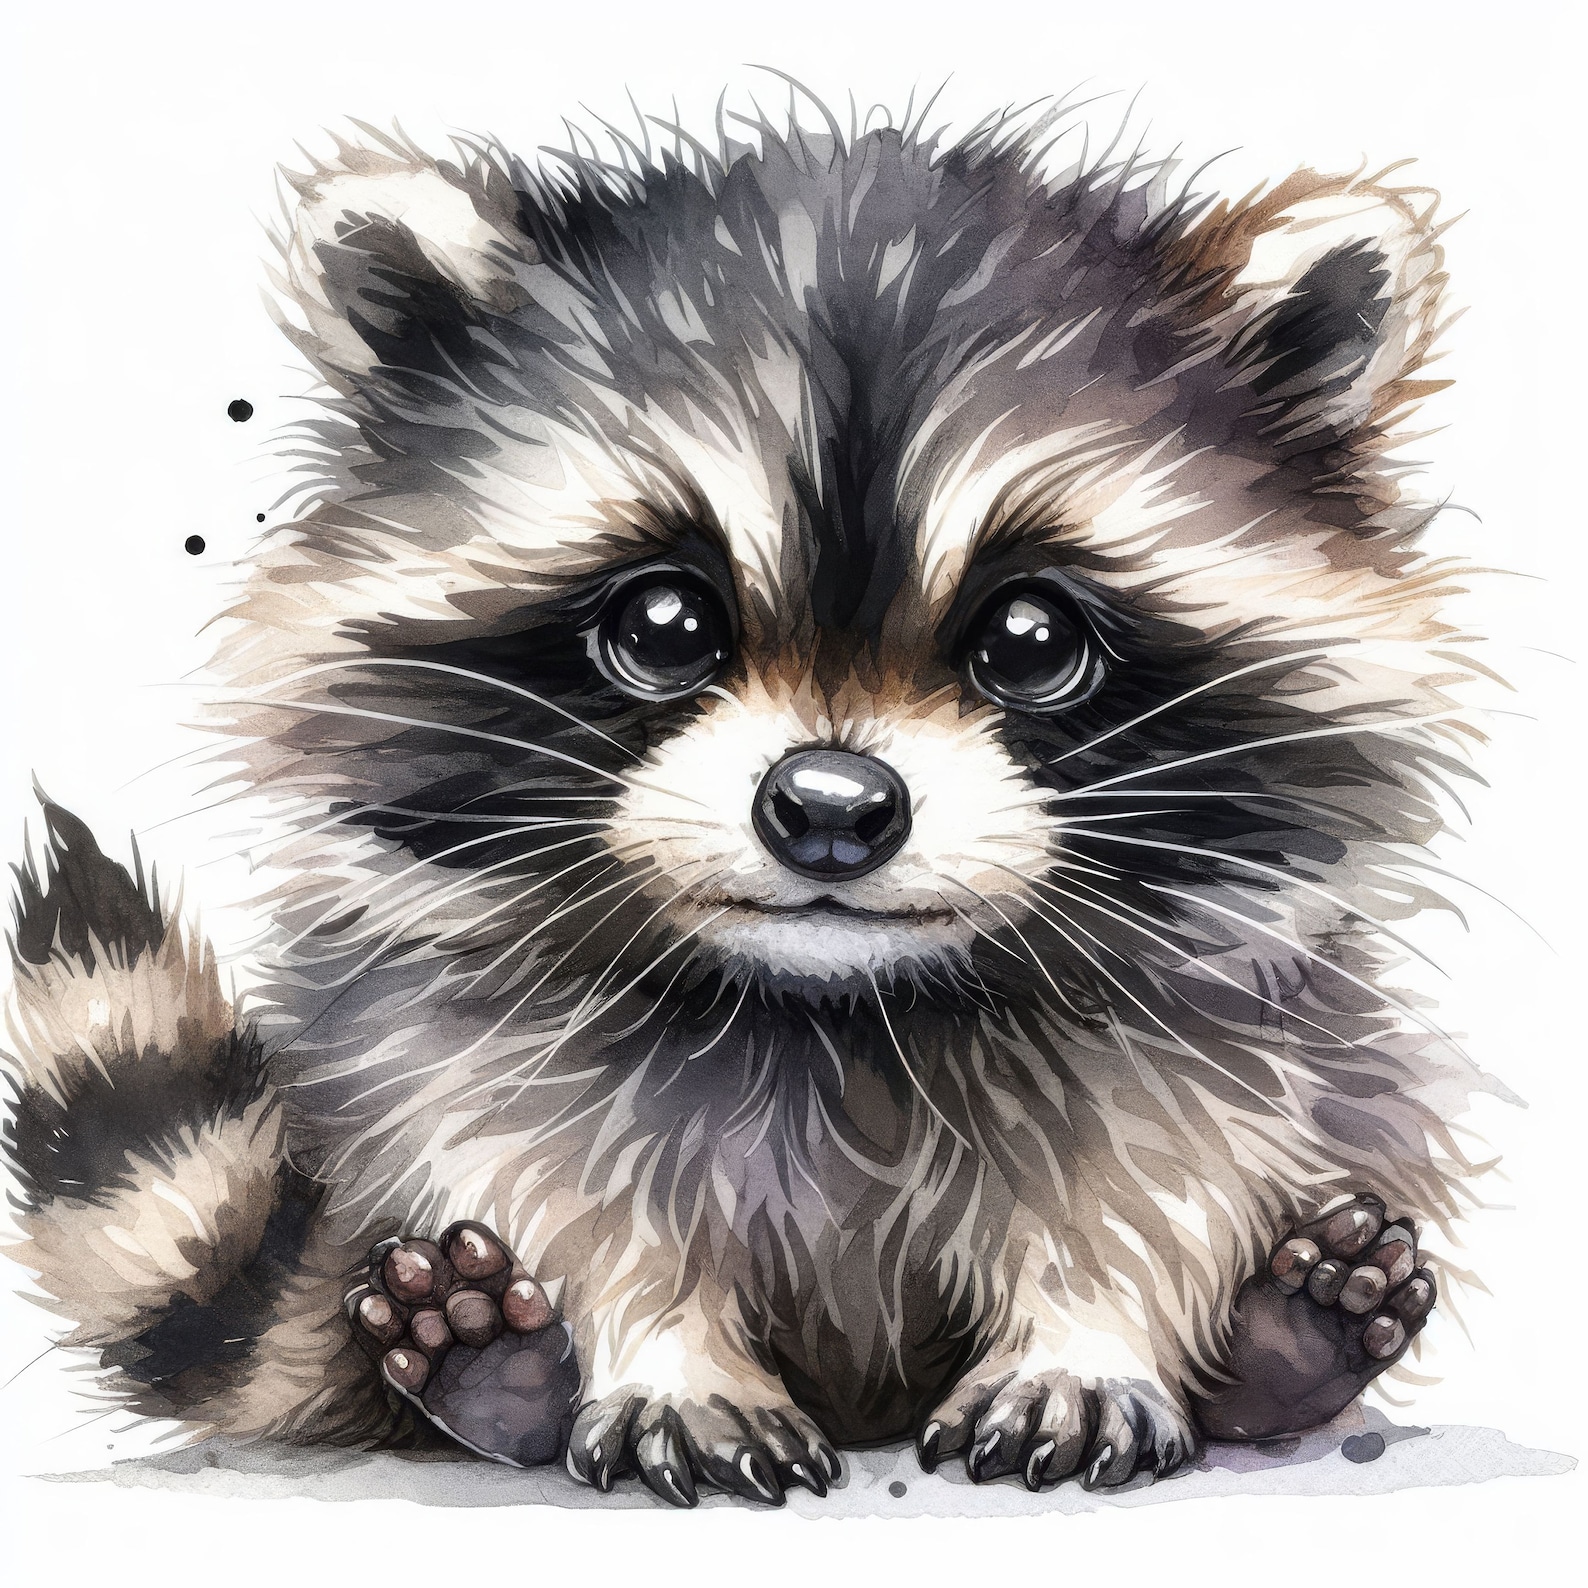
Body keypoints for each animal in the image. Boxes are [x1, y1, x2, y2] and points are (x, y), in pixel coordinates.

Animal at [2, 96, 1492, 1504]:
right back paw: (498, 1372)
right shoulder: (476, 1020)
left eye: (1028, 640)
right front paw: (657, 1349)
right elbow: (548, 1162)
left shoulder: (1205, 1011)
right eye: (664, 622)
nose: (830, 805)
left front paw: (1086, 1336)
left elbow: (1151, 1169)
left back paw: (1285, 1344)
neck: (838, 1002)